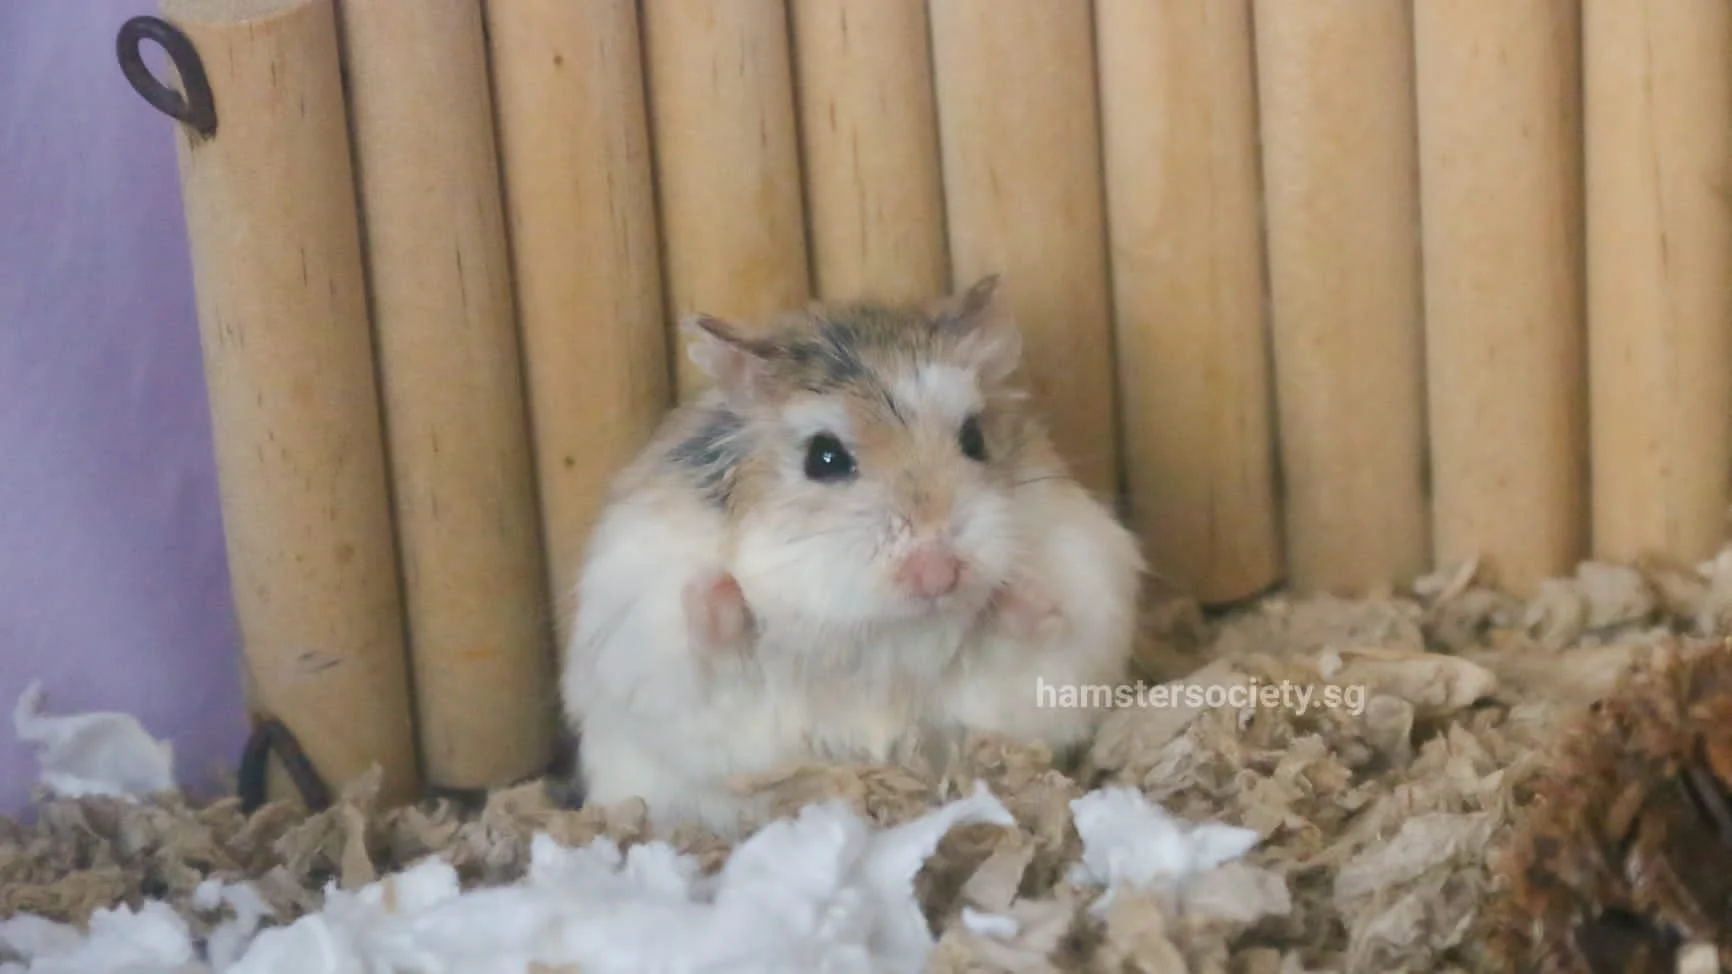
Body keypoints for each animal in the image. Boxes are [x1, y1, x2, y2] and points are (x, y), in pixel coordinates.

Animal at [560, 275, 1145, 836]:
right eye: (824, 457)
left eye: (975, 437)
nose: (940, 573)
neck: (881, 637)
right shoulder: (657, 648)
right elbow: (708, 640)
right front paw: (721, 587)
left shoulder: (1083, 597)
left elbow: (1039, 627)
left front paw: (1017, 594)